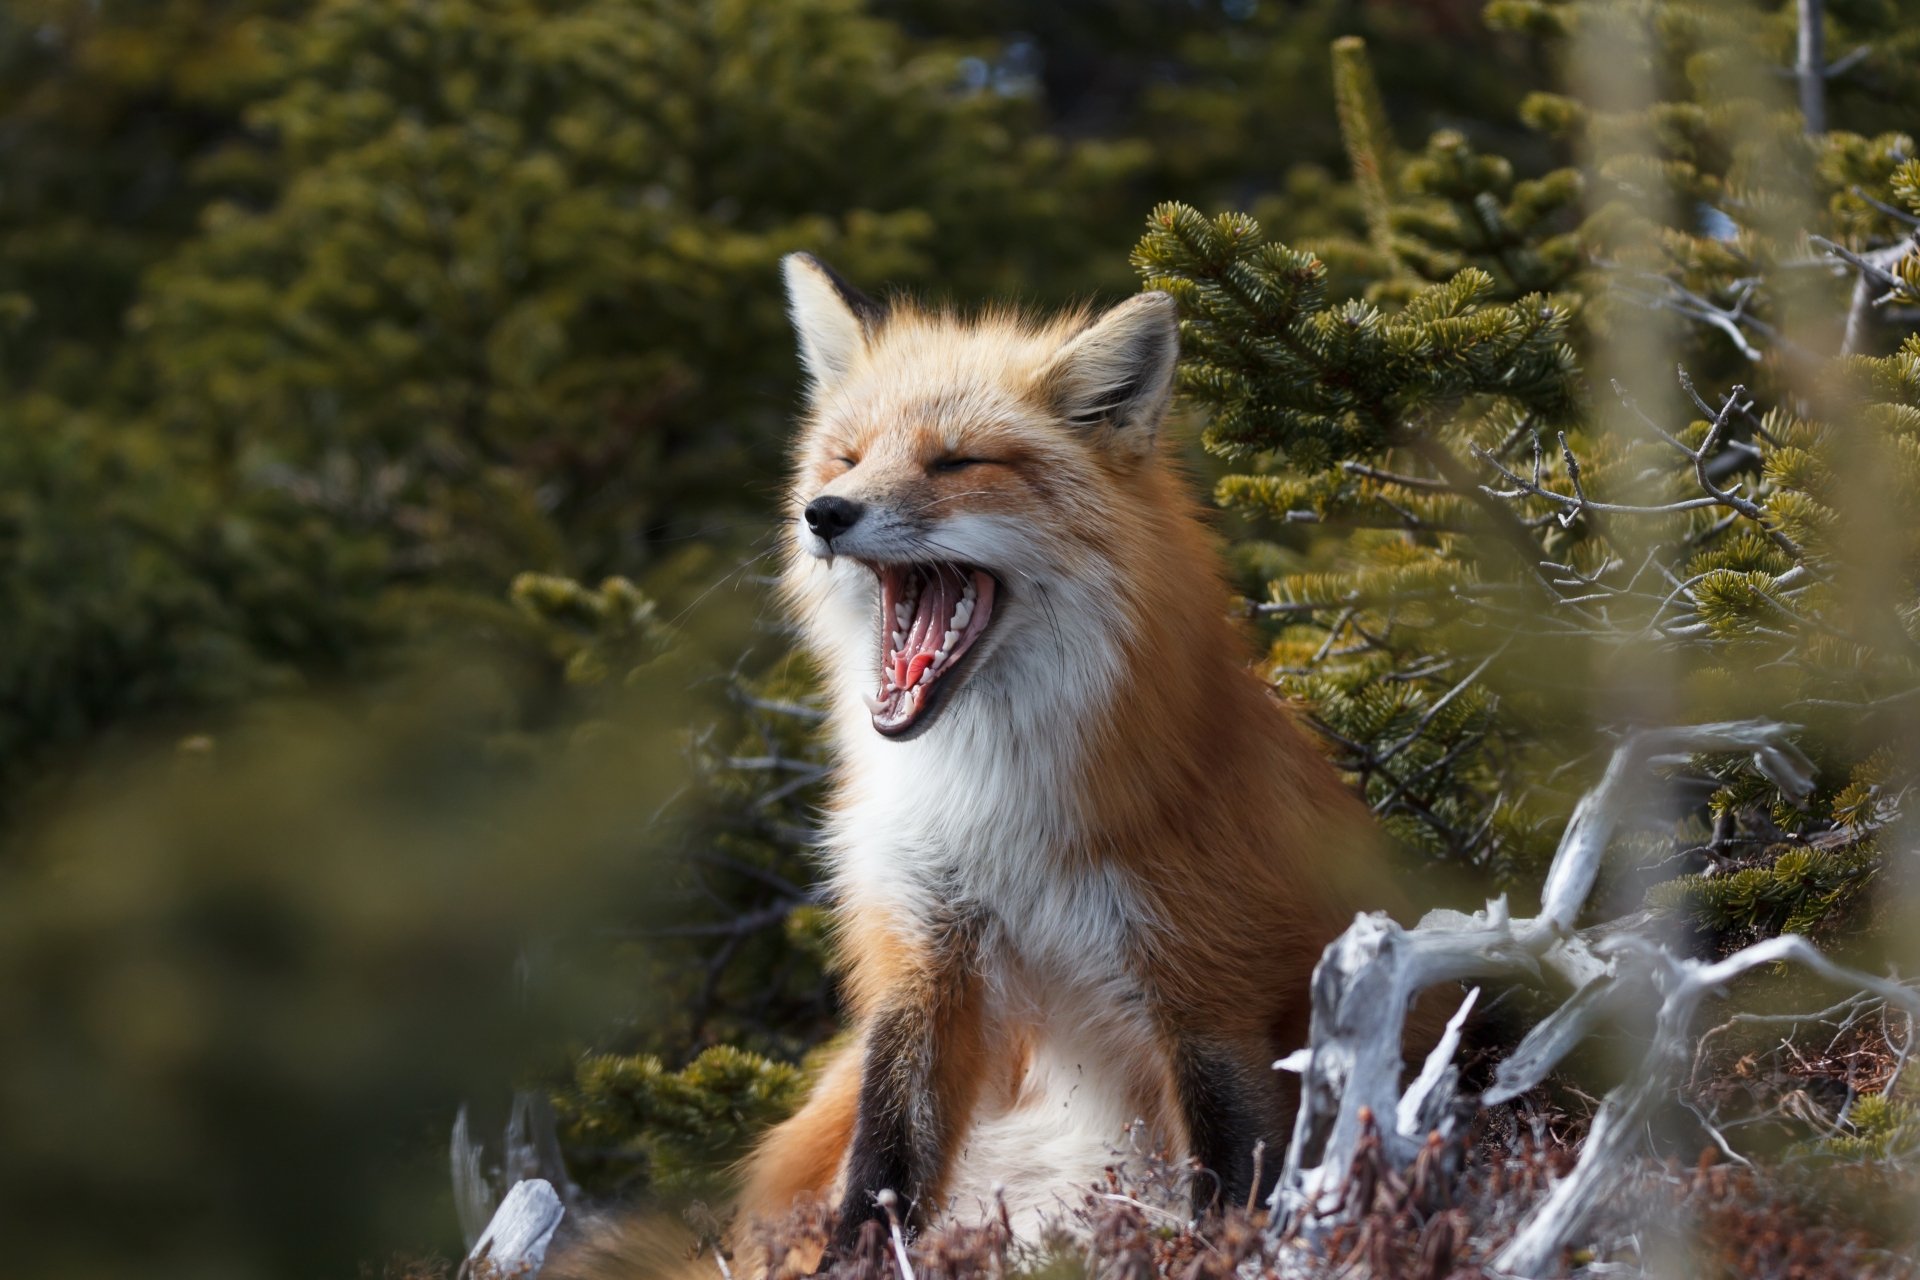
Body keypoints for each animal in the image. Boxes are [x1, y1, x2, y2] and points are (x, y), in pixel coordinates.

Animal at [714, 253, 1424, 1264]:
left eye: (956, 462)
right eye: (846, 457)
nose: (826, 512)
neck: (992, 809)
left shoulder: (1208, 990)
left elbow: (1230, 1183)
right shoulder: (925, 960)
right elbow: (881, 1176)